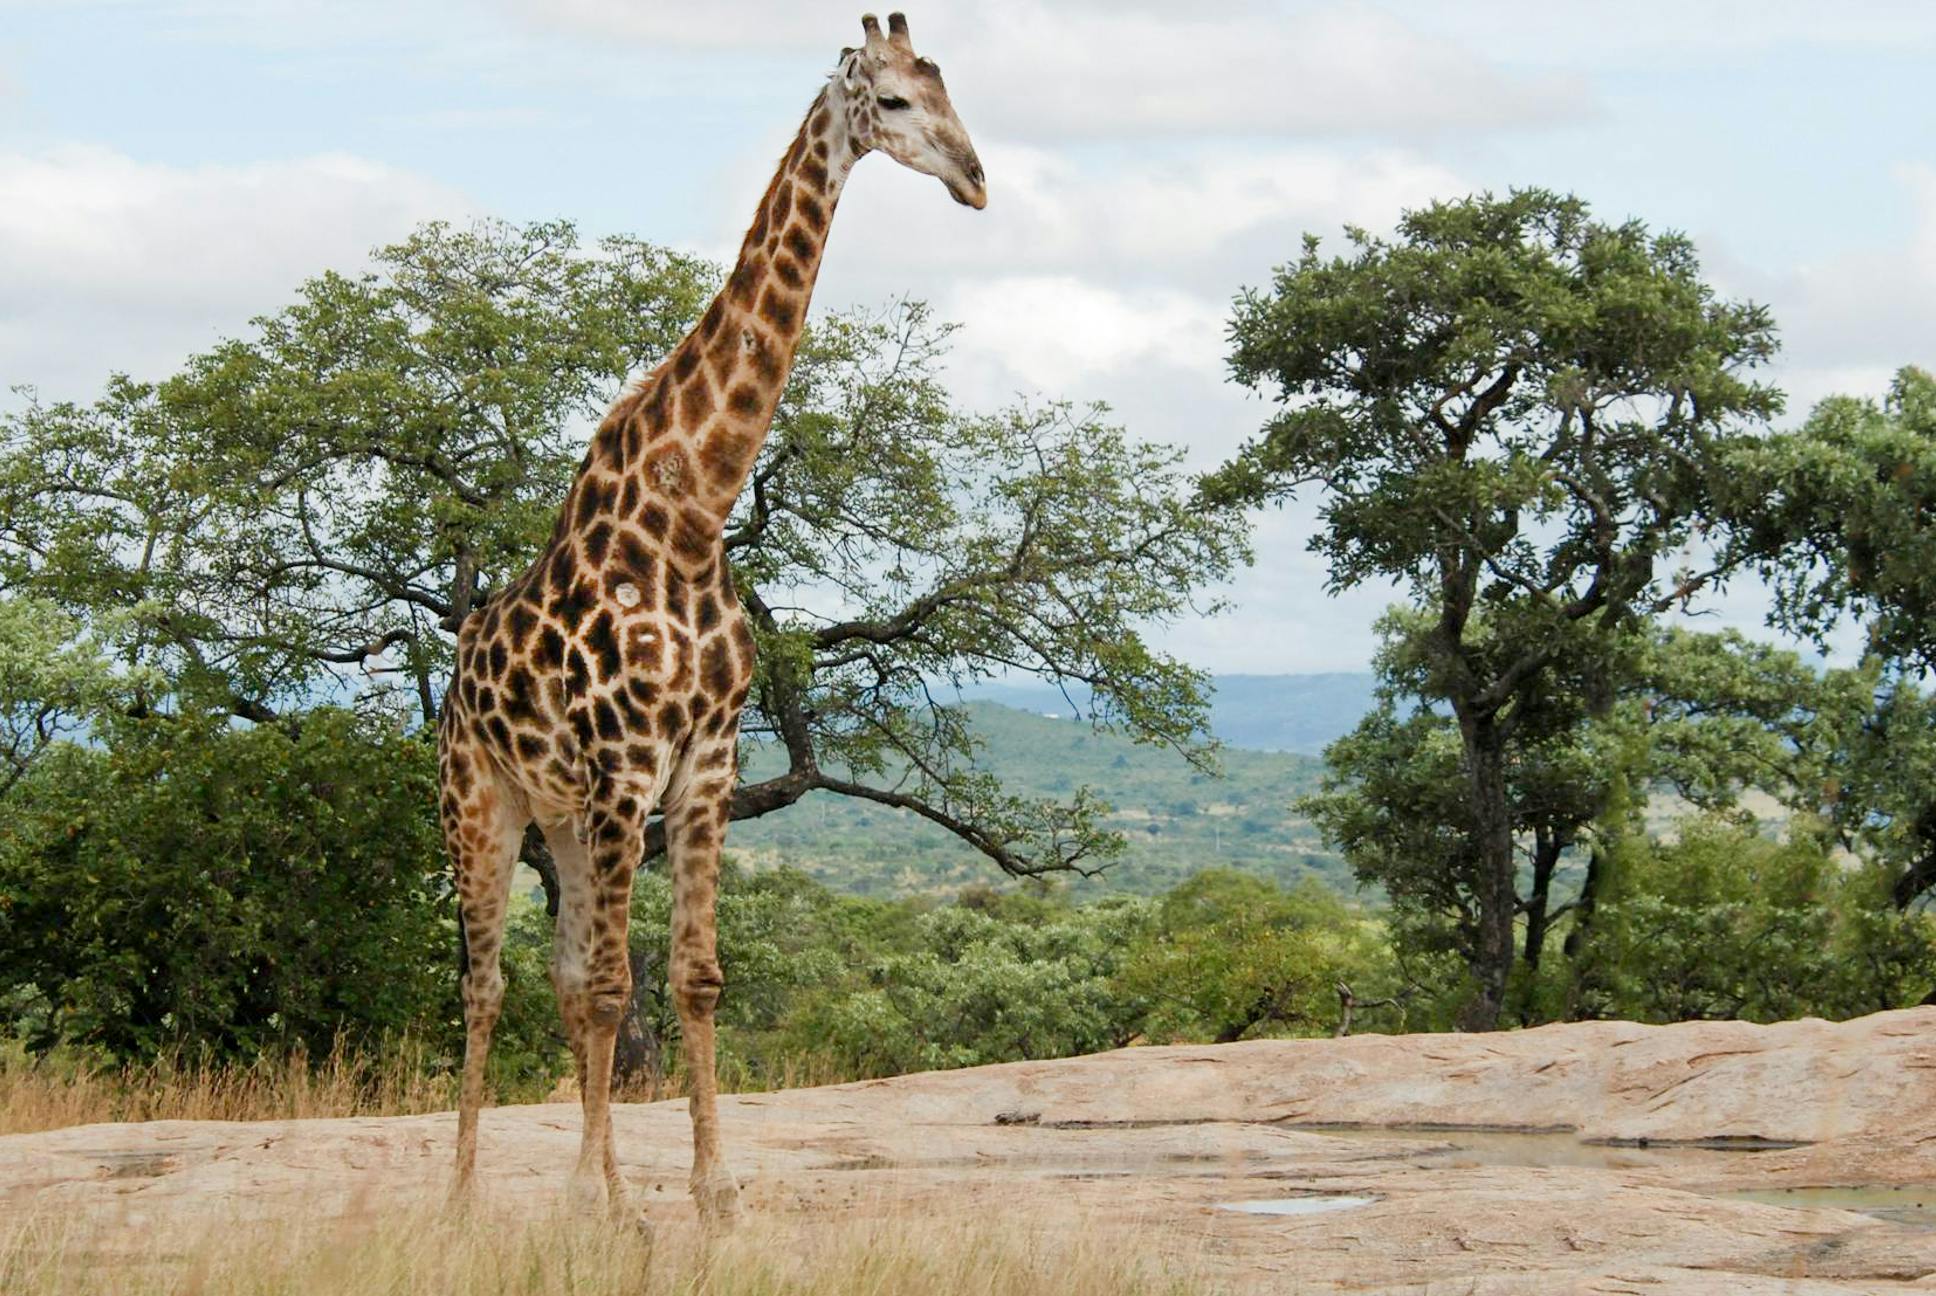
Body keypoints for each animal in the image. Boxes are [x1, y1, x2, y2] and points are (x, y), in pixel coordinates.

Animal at [437, 12, 984, 1229]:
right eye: (891, 101)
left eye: (952, 90)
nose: (976, 178)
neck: (693, 512)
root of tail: (454, 675)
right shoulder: (624, 766)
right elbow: (612, 988)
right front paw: (602, 1206)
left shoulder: (704, 764)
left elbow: (687, 979)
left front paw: (707, 1192)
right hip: (482, 802)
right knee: (486, 983)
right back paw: (464, 1194)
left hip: (561, 814)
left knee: (557, 977)